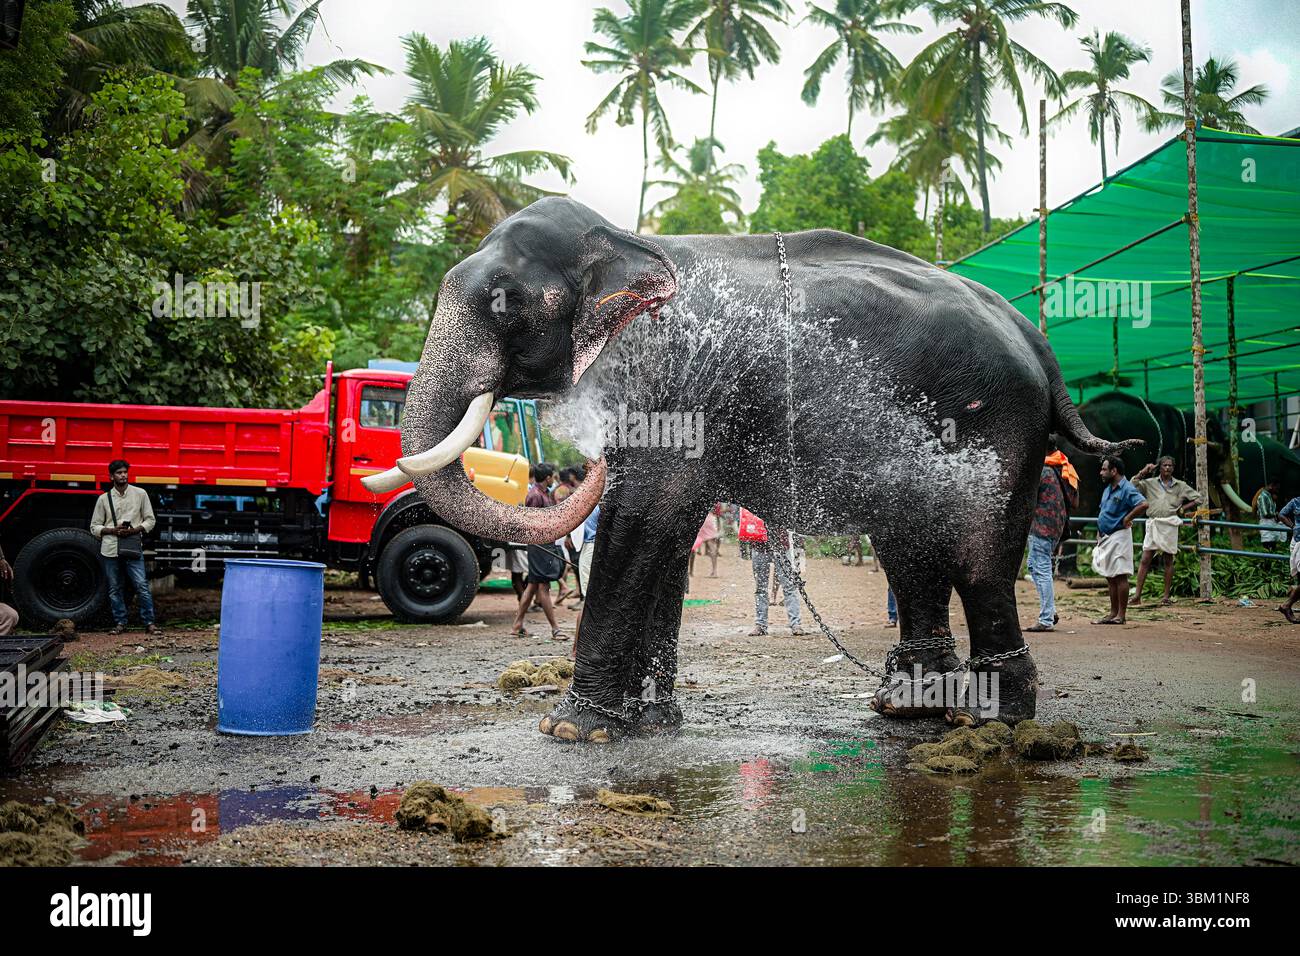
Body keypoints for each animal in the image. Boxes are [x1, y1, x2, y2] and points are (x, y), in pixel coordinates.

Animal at [363, 197, 1138, 743]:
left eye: (506, 302)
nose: (579, 465)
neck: (627, 238)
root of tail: (1038, 342)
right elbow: (667, 531)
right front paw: (652, 724)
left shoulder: (670, 382)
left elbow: (642, 516)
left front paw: (570, 730)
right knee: (910, 549)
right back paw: (908, 707)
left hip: (994, 430)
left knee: (977, 554)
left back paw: (993, 718)